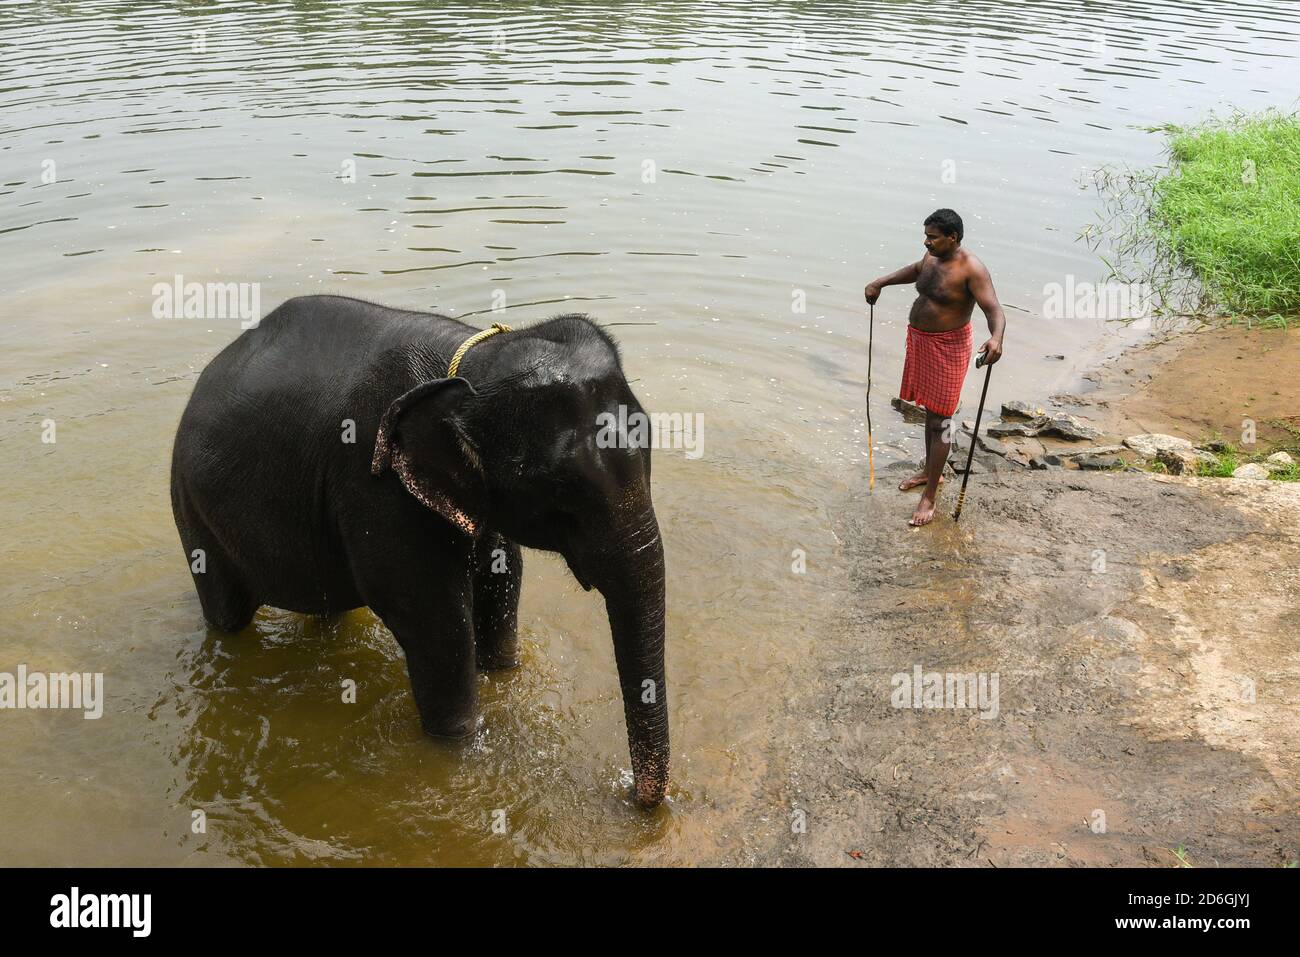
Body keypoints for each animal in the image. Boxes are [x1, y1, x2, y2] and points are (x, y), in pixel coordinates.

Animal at [169, 295, 668, 808]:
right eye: (559, 488)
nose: (635, 797)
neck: (473, 368)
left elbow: (504, 580)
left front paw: (502, 674)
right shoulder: (376, 484)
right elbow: (435, 622)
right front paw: (460, 748)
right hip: (191, 508)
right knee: (226, 613)